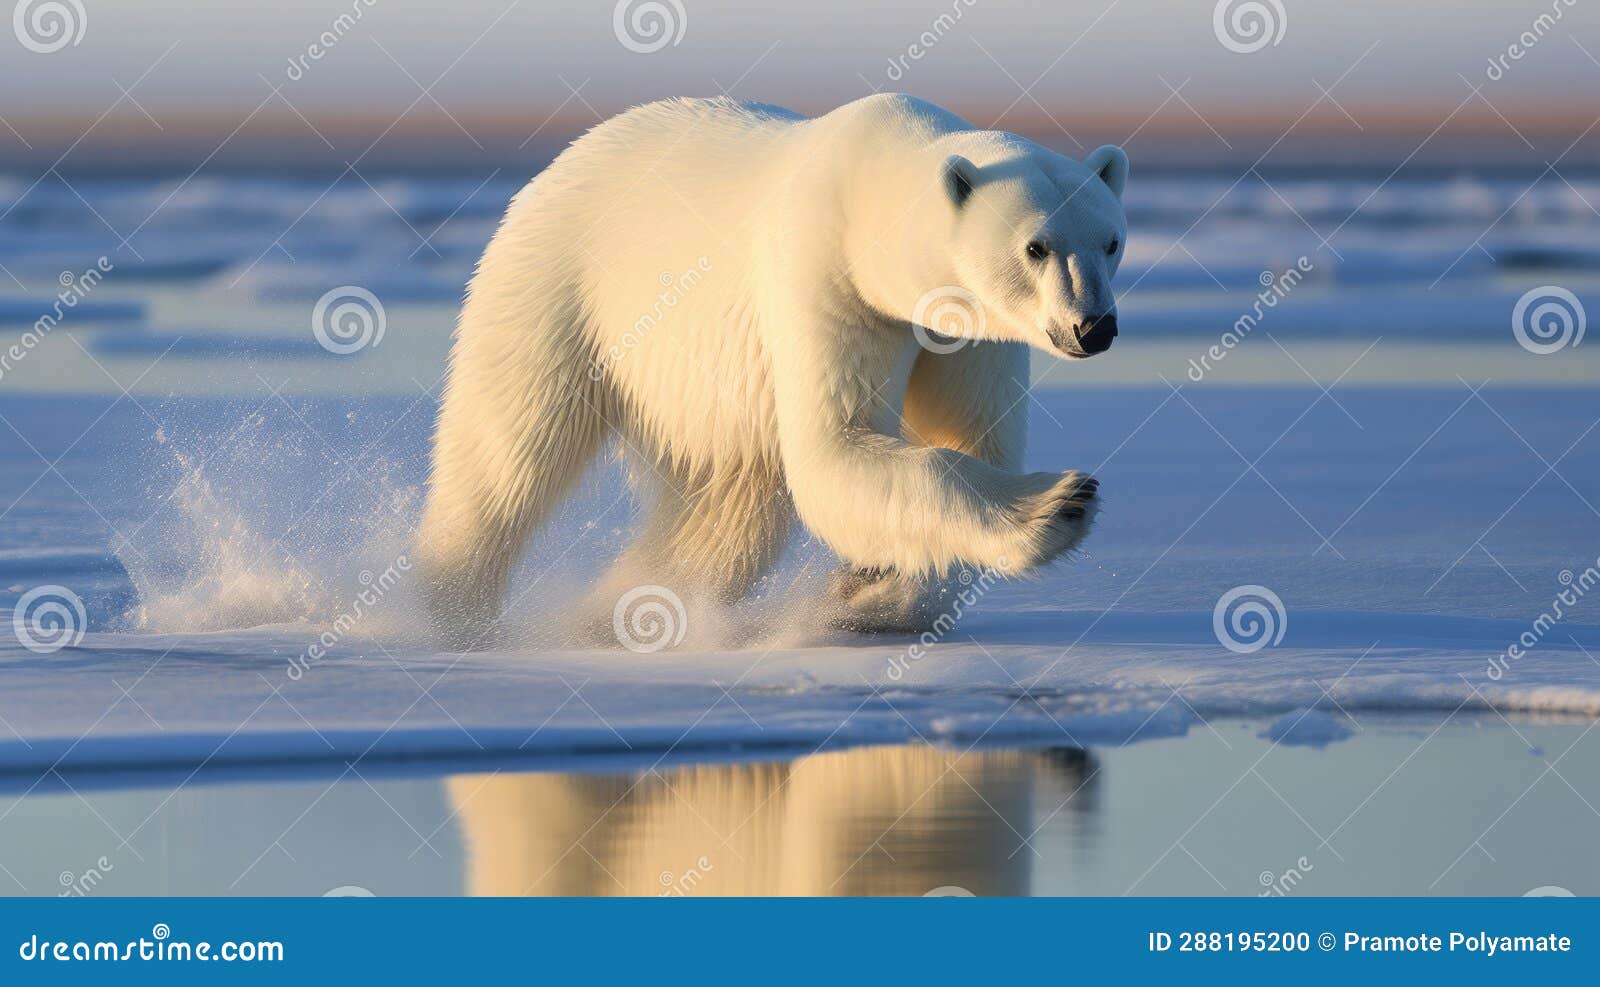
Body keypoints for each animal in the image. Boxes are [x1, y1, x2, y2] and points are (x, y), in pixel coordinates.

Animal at [416, 94, 1129, 647]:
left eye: (1111, 241)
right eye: (1036, 246)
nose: (1093, 327)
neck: (868, 191)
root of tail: (562, 160)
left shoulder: (965, 330)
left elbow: (972, 437)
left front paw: (867, 596)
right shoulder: (824, 273)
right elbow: (835, 448)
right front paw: (1059, 503)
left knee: (730, 517)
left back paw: (620, 610)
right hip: (560, 282)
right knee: (509, 451)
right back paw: (450, 612)